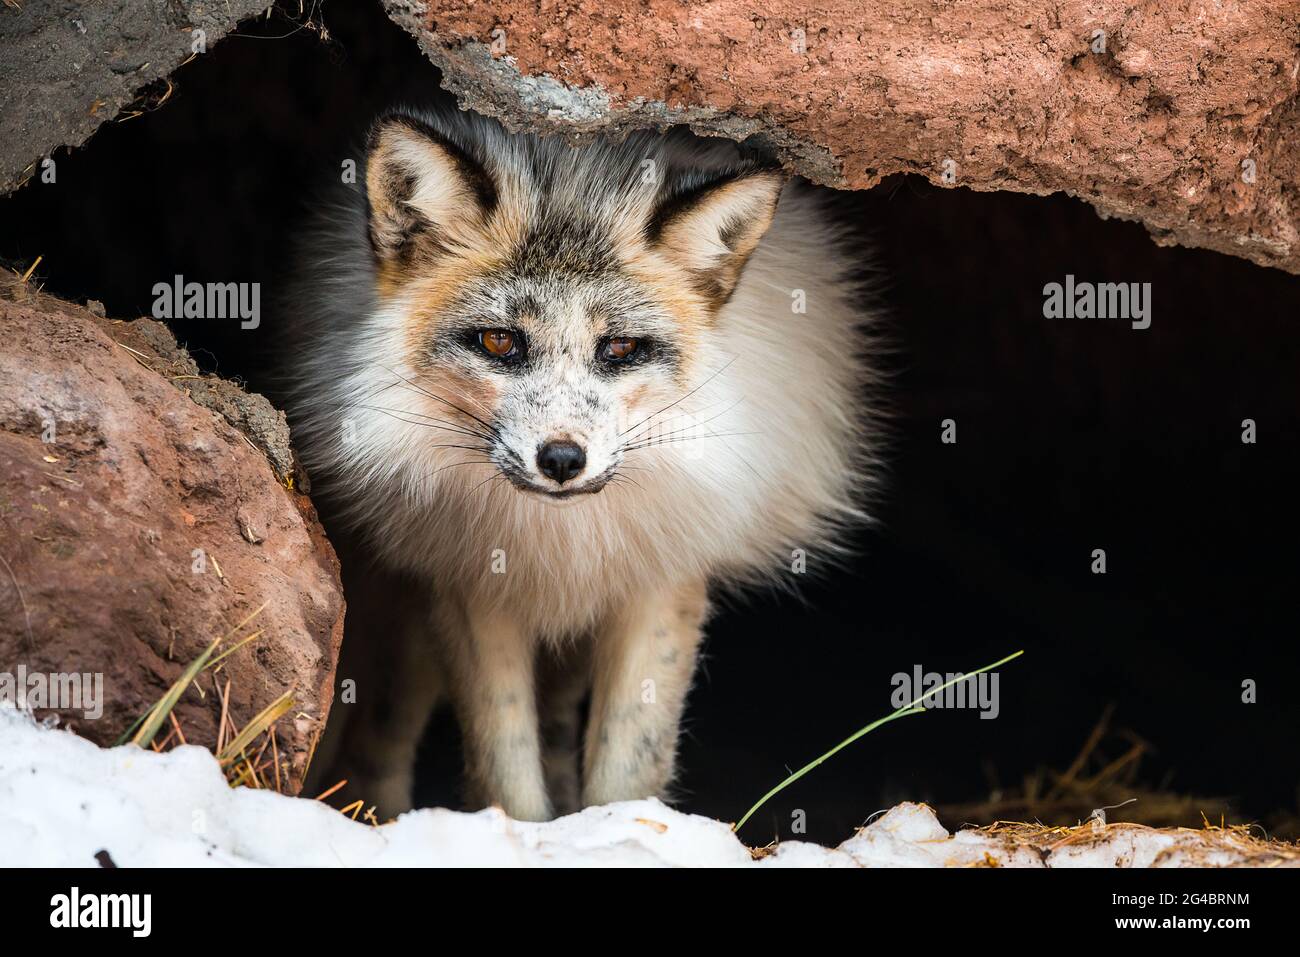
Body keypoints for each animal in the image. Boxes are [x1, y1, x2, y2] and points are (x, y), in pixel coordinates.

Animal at [285, 107, 878, 822]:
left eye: (619, 349)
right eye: (499, 342)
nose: (562, 459)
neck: (560, 543)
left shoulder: (661, 586)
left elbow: (628, 767)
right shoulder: (469, 588)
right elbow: (504, 769)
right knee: (382, 736)